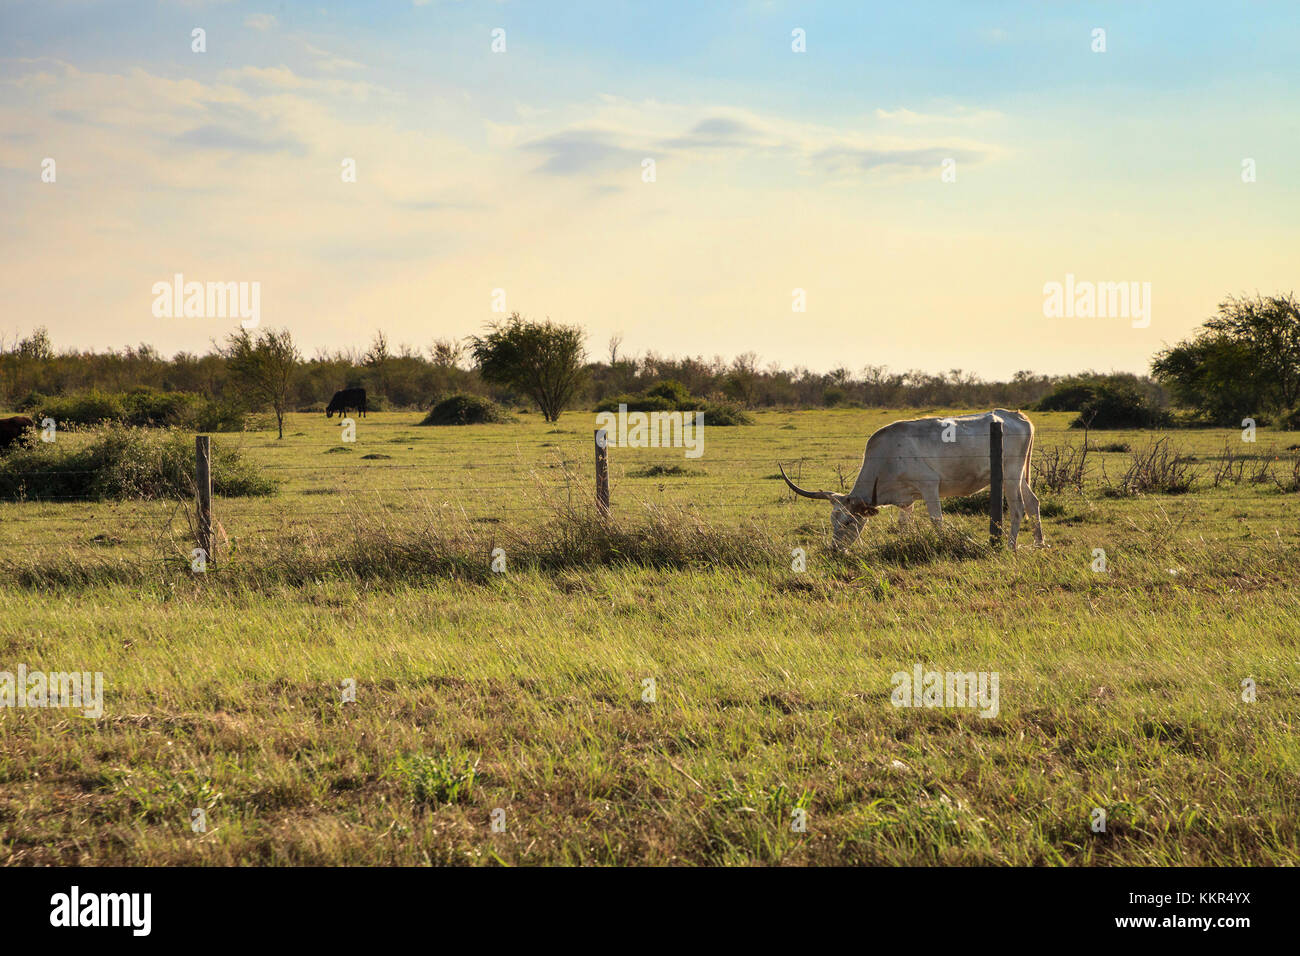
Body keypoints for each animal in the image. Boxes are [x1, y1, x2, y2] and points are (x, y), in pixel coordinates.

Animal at [779, 409, 1045, 551]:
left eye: (848, 522)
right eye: (833, 521)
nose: (835, 550)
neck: (886, 457)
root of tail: (1015, 416)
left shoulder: (929, 486)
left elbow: (937, 520)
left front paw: (943, 544)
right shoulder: (906, 499)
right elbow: (903, 525)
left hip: (1010, 474)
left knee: (1018, 508)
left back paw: (1010, 546)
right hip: (1019, 475)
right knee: (1033, 502)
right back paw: (1040, 544)